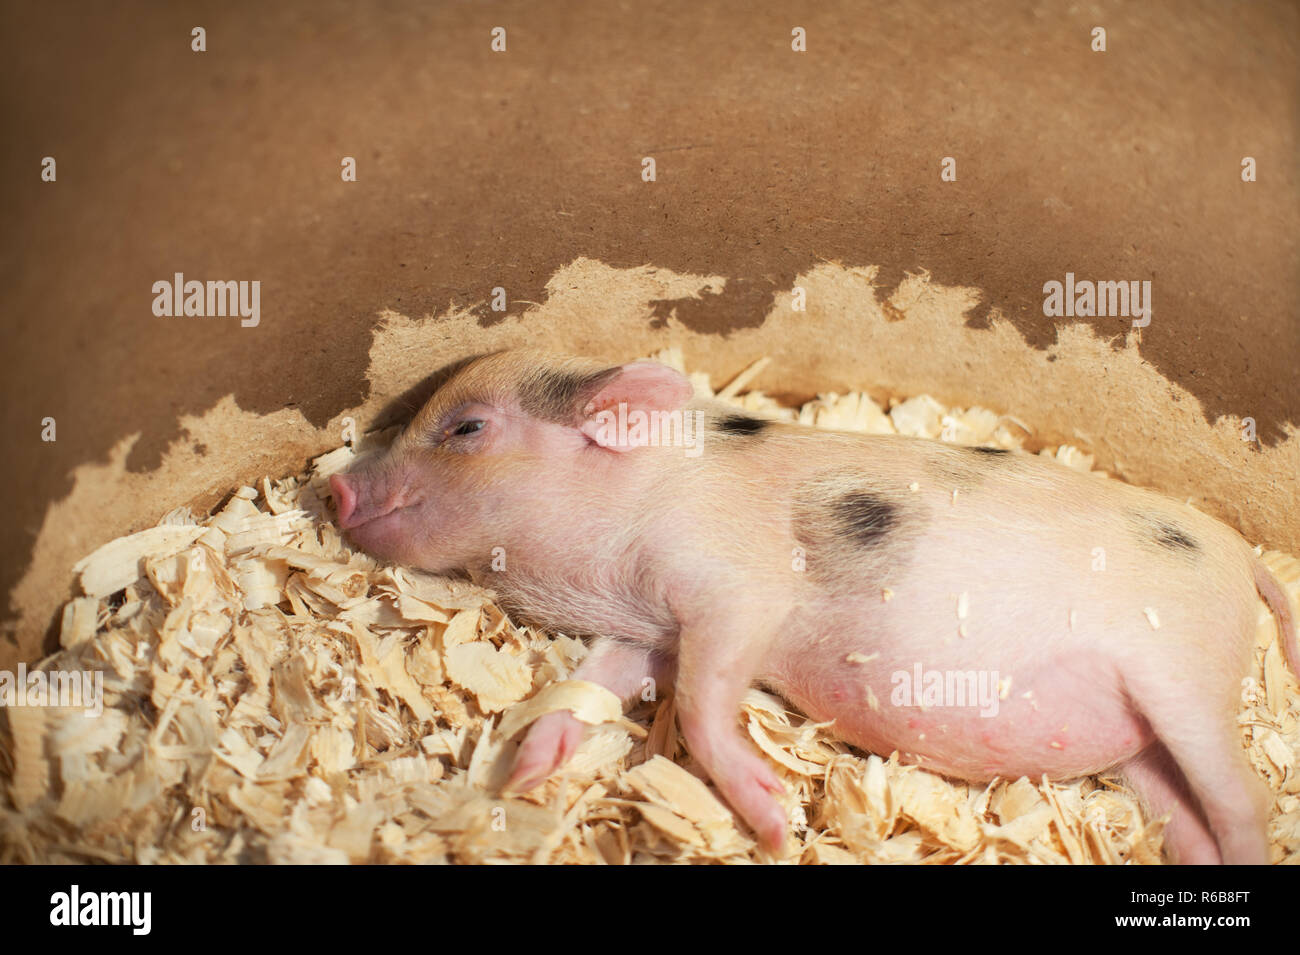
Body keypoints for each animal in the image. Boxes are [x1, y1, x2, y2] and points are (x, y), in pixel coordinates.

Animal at [329, 349, 1298, 864]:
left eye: (466, 429)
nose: (332, 490)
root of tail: (1244, 555)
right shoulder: (650, 632)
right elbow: (602, 682)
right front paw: (525, 771)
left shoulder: (733, 588)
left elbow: (705, 700)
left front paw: (767, 818)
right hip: (1143, 744)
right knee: (1184, 806)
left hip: (1182, 676)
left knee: (1245, 795)